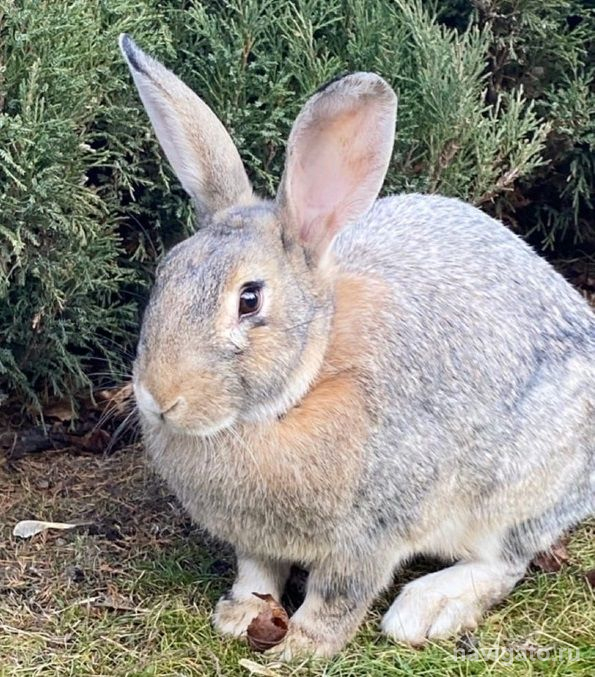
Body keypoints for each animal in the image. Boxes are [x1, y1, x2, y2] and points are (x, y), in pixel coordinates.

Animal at [118, 34, 592, 656]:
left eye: (249, 299)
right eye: (164, 273)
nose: (158, 397)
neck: (303, 387)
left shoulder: (370, 534)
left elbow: (338, 594)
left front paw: (300, 645)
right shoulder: (256, 542)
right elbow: (256, 572)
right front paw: (240, 615)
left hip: (512, 493)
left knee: (505, 562)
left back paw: (425, 610)